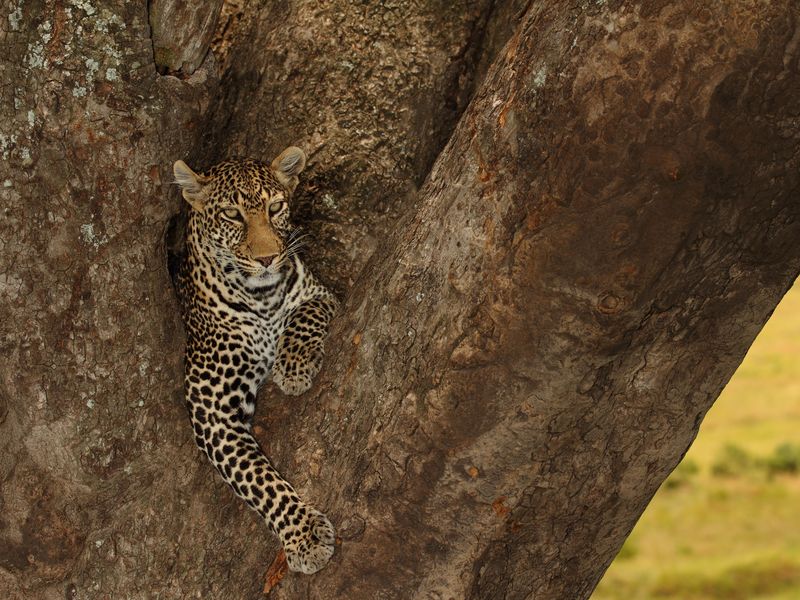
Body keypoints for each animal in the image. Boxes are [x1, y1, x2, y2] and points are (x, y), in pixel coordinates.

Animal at [172, 146, 338, 574]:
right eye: (232, 215)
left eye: (275, 207)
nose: (267, 259)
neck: (259, 300)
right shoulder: (212, 410)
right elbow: (258, 478)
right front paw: (304, 535)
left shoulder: (319, 294)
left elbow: (302, 315)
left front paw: (293, 366)